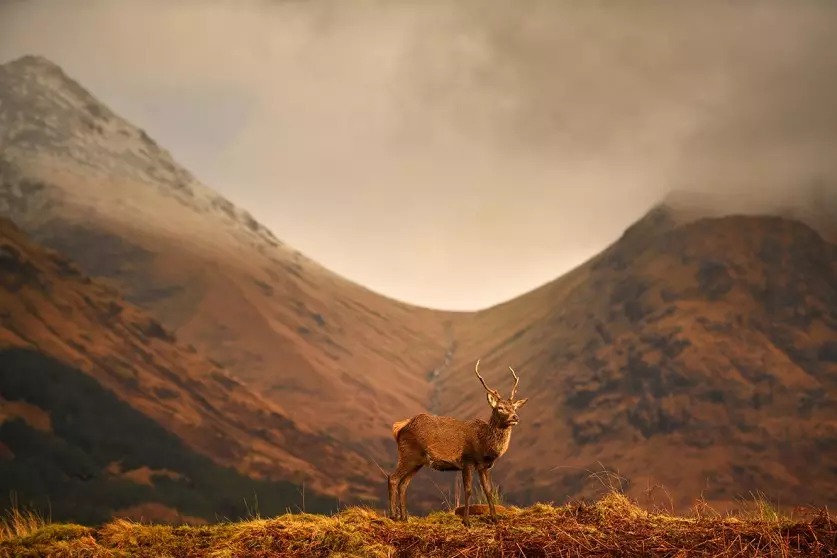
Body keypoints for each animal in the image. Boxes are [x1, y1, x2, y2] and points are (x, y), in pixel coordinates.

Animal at [386, 360, 528, 528]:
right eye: (500, 407)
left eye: (514, 407)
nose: (515, 417)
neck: (485, 446)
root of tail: (400, 426)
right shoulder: (467, 461)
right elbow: (468, 490)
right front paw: (467, 521)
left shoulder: (485, 466)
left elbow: (488, 490)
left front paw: (494, 519)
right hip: (408, 454)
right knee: (393, 478)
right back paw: (394, 516)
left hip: (418, 461)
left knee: (403, 484)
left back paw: (404, 518)